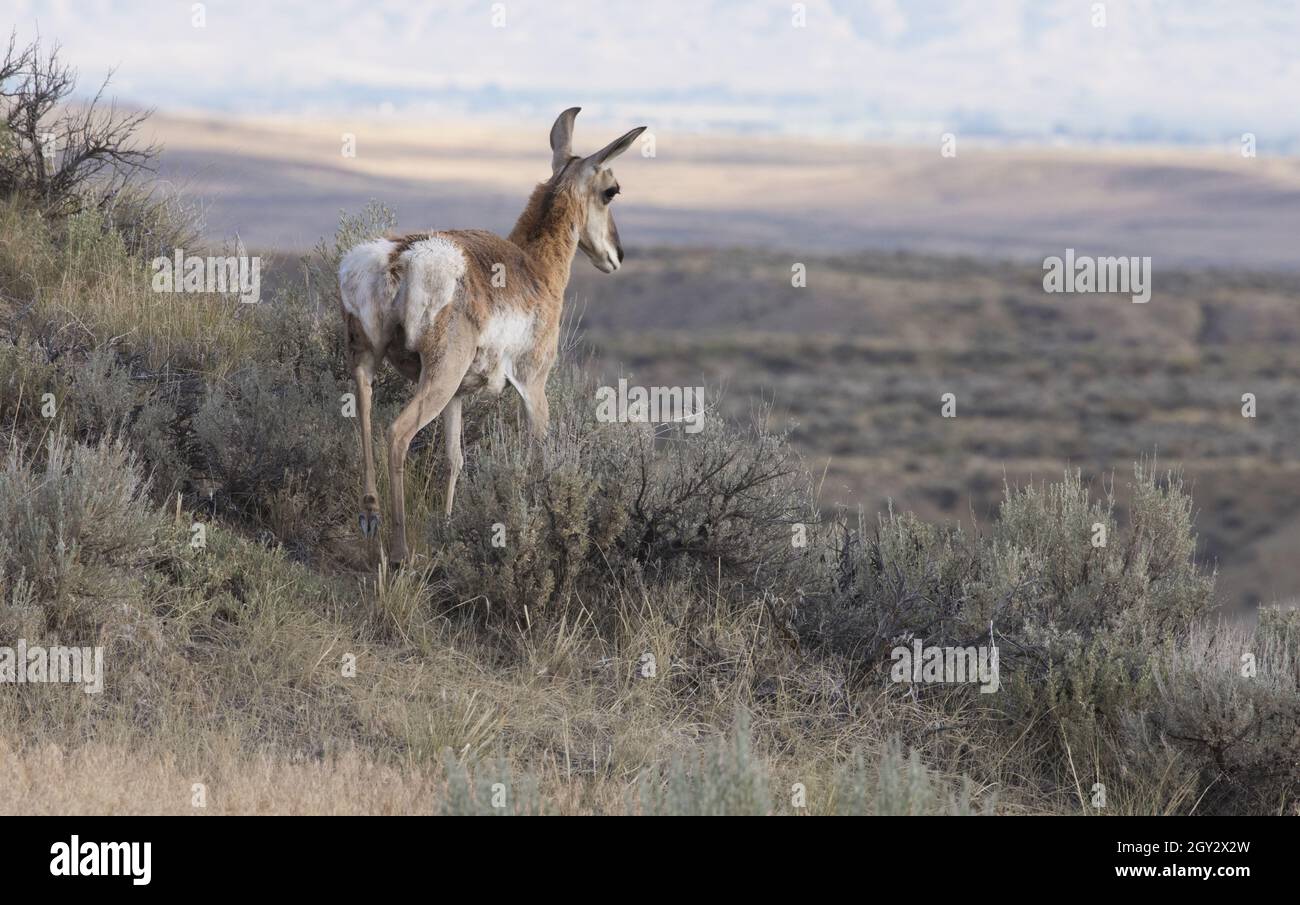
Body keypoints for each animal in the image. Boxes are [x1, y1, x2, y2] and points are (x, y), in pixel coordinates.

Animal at [338, 108, 646, 562]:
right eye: (612, 191)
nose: (618, 255)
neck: (535, 265)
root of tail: (398, 256)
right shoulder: (534, 385)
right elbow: (540, 455)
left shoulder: (459, 397)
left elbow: (453, 459)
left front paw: (448, 522)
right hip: (437, 376)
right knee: (397, 433)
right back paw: (400, 550)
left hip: (370, 361)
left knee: (362, 410)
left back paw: (369, 516)